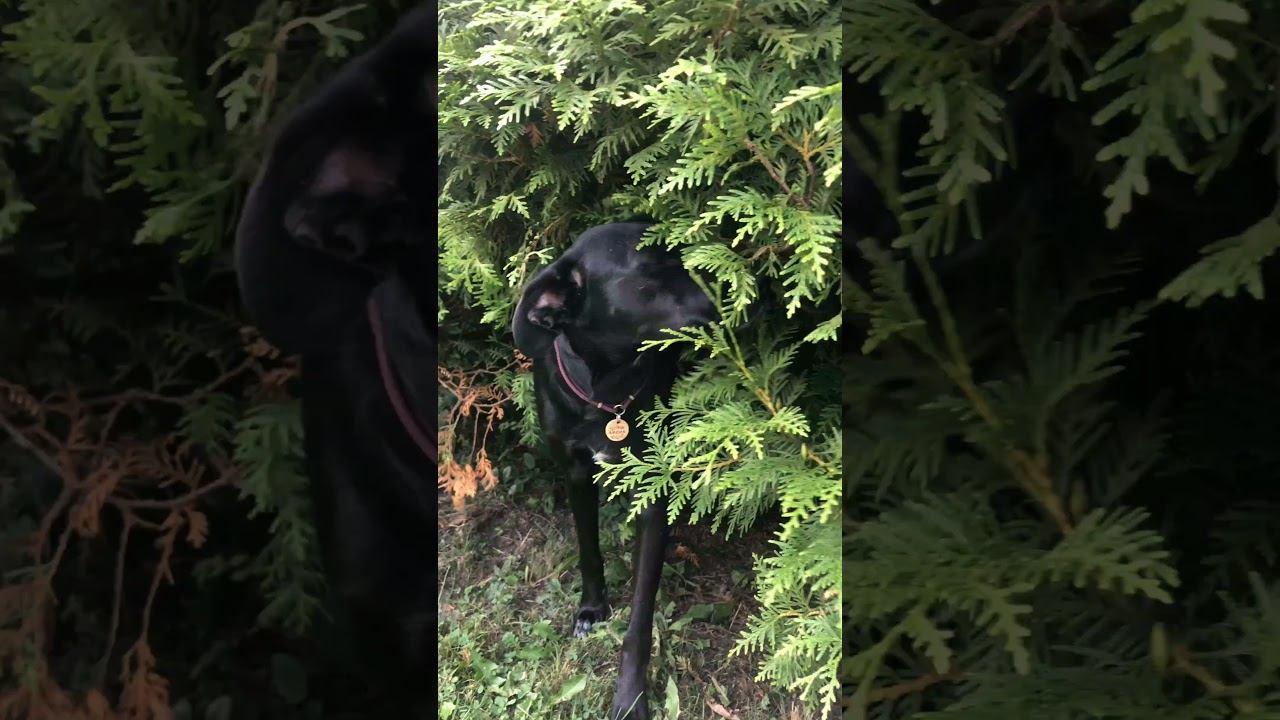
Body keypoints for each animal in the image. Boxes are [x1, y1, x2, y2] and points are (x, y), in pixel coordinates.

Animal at [512, 222, 717, 720]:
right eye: (648, 268)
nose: (737, 289)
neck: (606, 394)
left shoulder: (654, 491)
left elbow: (640, 617)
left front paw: (629, 697)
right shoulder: (574, 473)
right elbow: (589, 551)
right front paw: (591, 609)